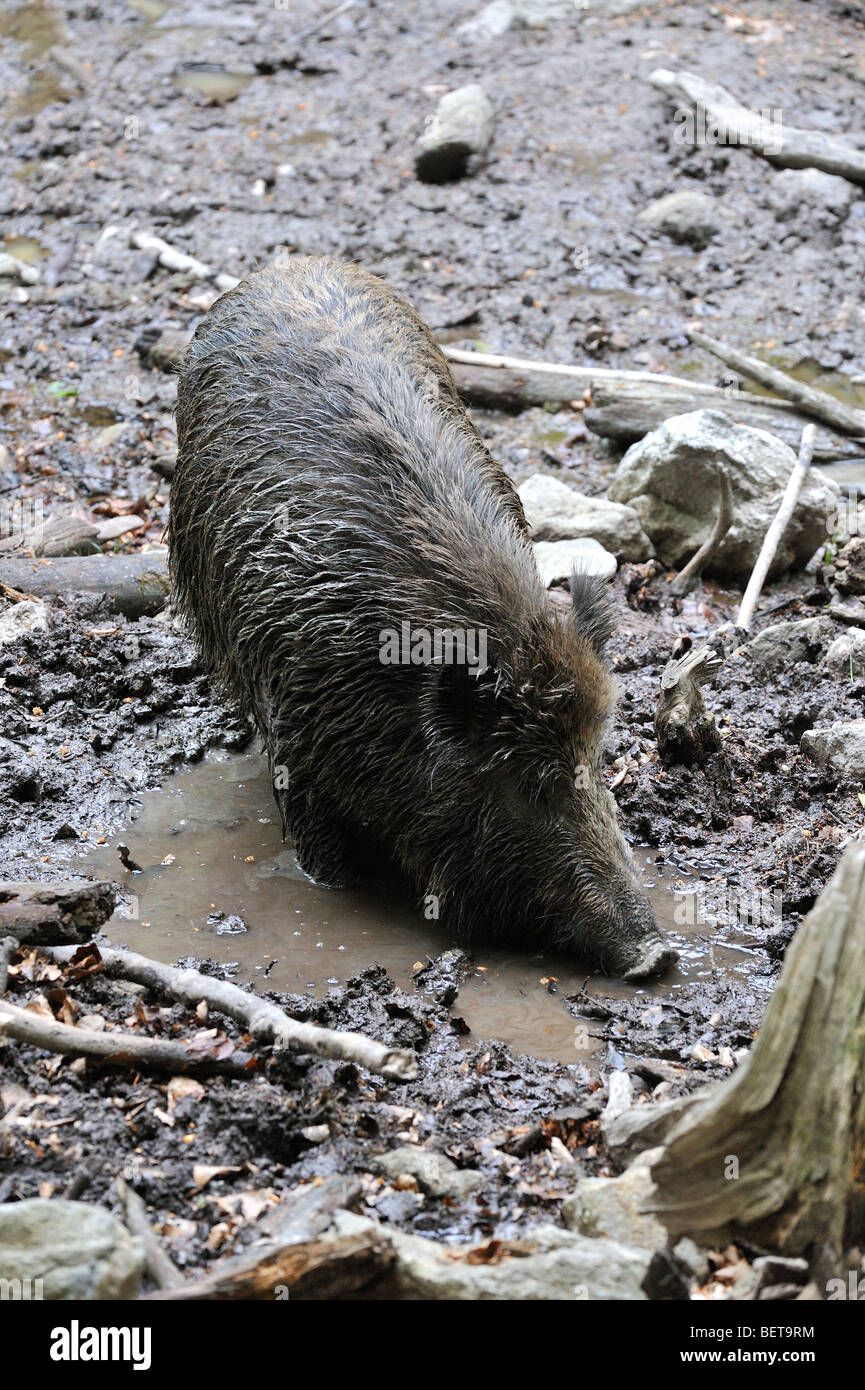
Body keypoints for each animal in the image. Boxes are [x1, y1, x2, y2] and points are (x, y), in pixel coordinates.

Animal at [169, 254, 677, 981]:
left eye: (596, 760)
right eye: (528, 784)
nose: (657, 957)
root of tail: (287, 264)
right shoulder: (299, 743)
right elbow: (325, 863)